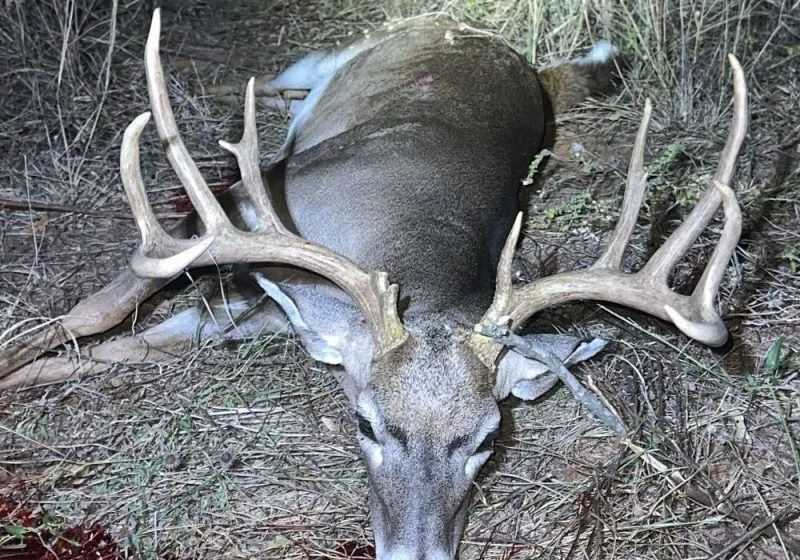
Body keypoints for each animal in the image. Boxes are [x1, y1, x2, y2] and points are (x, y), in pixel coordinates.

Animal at [1, 9, 747, 560]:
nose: (417, 554)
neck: (403, 229)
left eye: (487, 439)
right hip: (327, 62)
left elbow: (137, 345)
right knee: (281, 82)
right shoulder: (243, 203)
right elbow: (98, 311)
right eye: (367, 422)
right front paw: (14, 364)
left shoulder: (271, 310)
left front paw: (34, 376)